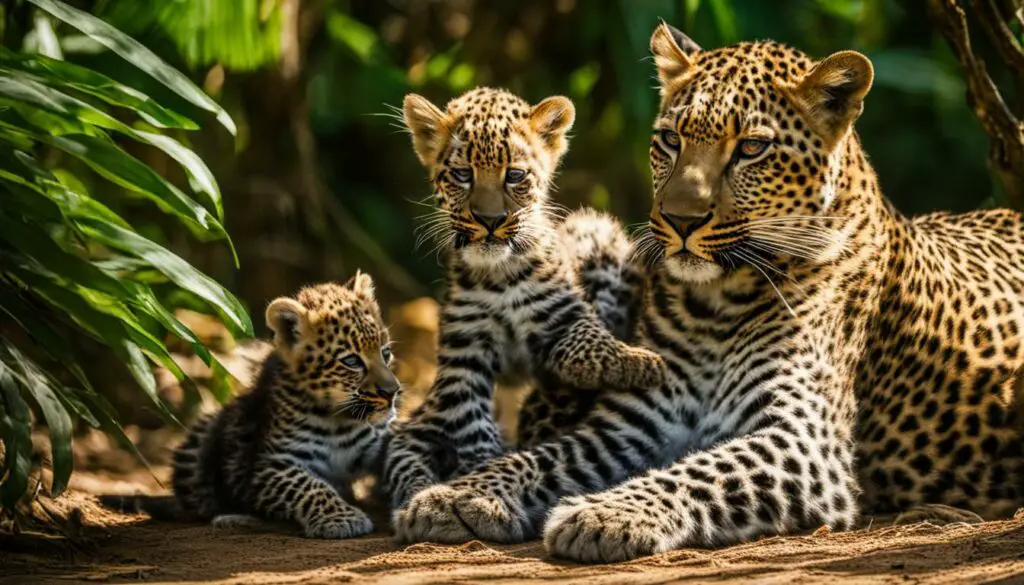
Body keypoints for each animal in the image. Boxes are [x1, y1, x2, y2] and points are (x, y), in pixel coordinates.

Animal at [105, 273, 400, 539]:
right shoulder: (266, 467)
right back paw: (234, 519)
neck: (338, 418)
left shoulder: (377, 444)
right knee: (200, 506)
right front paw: (341, 519)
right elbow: (308, 485)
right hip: (203, 441)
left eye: (385, 353)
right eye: (351, 361)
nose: (392, 392)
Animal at [384, 87, 664, 510]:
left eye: (514, 175)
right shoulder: (464, 351)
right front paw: (478, 466)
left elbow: (593, 342)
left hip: (592, 230)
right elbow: (468, 415)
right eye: (463, 175)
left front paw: (640, 362)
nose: (490, 220)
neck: (500, 275)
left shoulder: (563, 318)